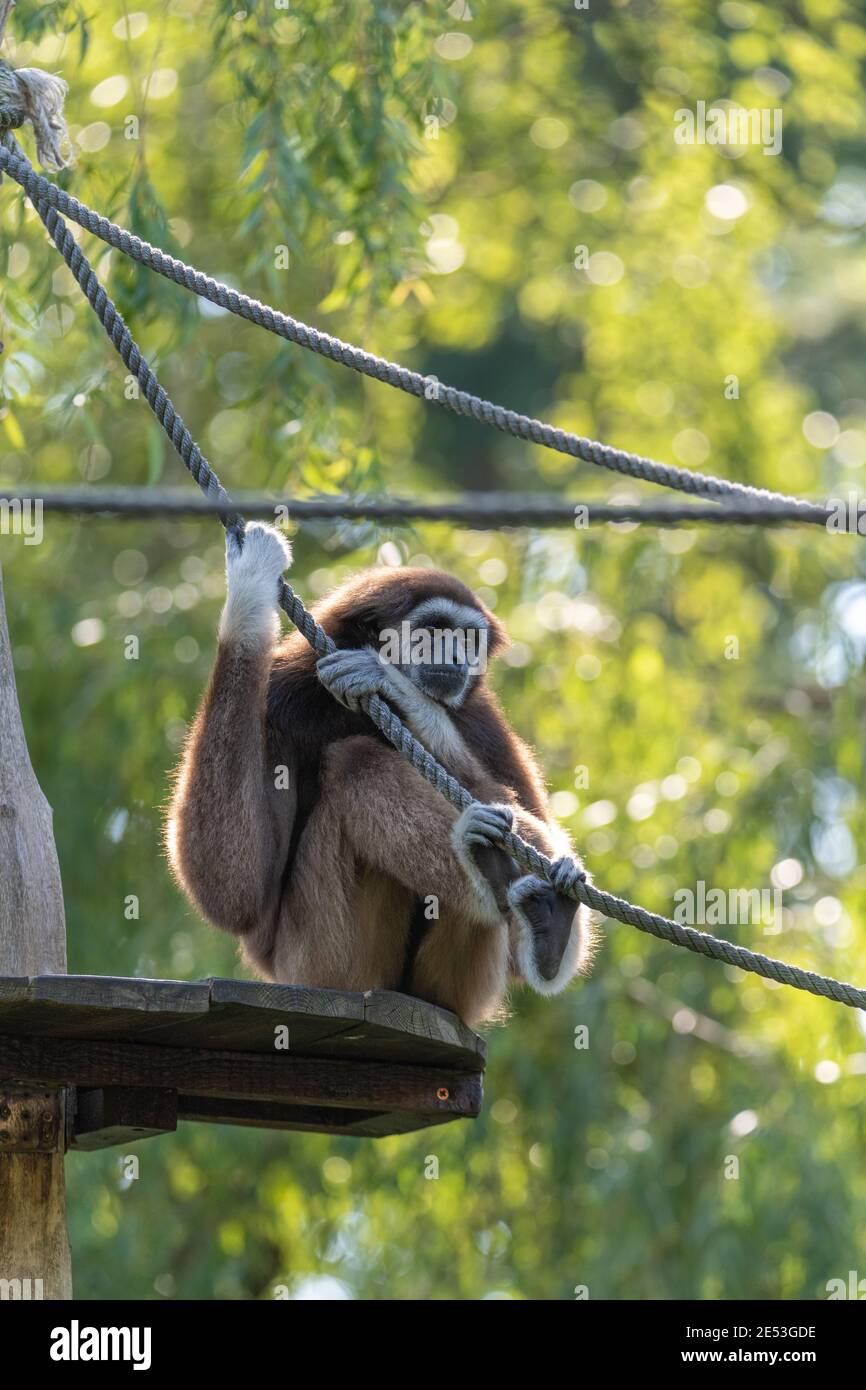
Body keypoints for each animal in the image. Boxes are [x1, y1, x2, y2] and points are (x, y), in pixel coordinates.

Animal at [166, 523, 594, 1027]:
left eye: (467, 638)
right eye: (434, 631)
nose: (455, 655)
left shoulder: (481, 718)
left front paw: (400, 691)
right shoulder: (278, 694)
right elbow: (236, 893)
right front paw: (249, 583)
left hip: (460, 992)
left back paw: (546, 919)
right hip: (319, 962)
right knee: (354, 761)